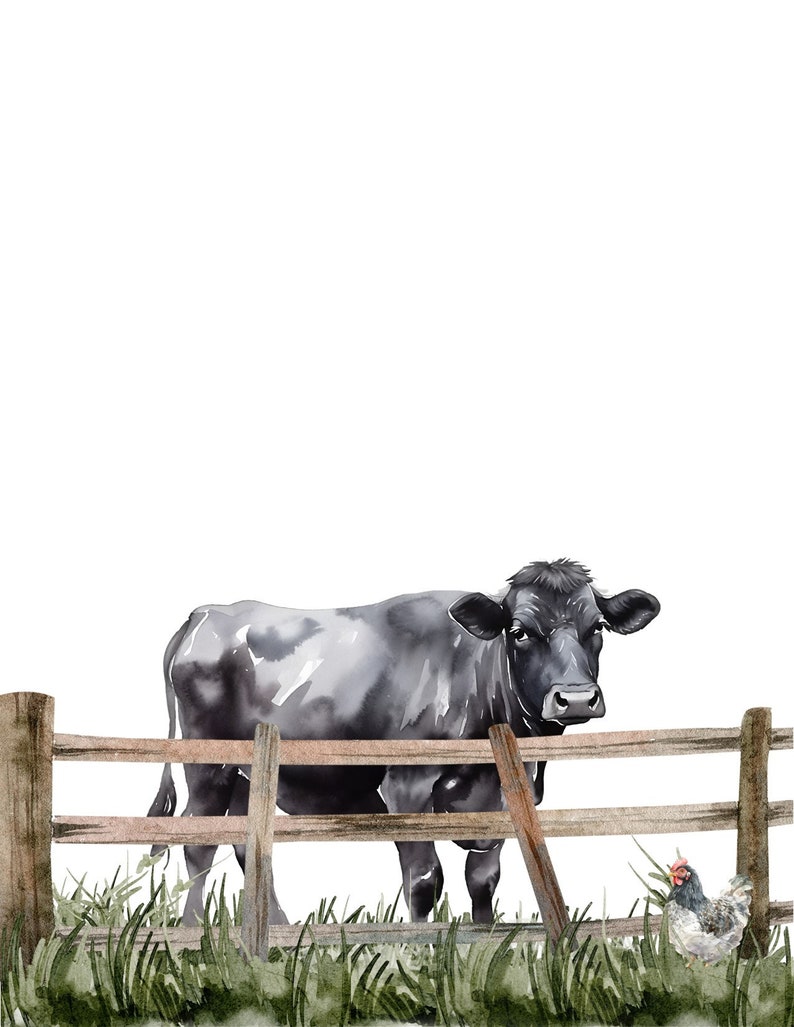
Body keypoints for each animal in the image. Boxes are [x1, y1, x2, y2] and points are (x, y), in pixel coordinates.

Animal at [147, 559, 659, 924]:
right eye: (518, 631)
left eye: (597, 628)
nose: (575, 698)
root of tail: (205, 613)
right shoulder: (407, 788)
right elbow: (424, 880)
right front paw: (418, 955)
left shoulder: (503, 800)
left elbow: (483, 880)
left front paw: (485, 947)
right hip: (207, 766)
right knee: (198, 846)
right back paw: (193, 934)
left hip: (246, 775)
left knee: (246, 845)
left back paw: (276, 928)